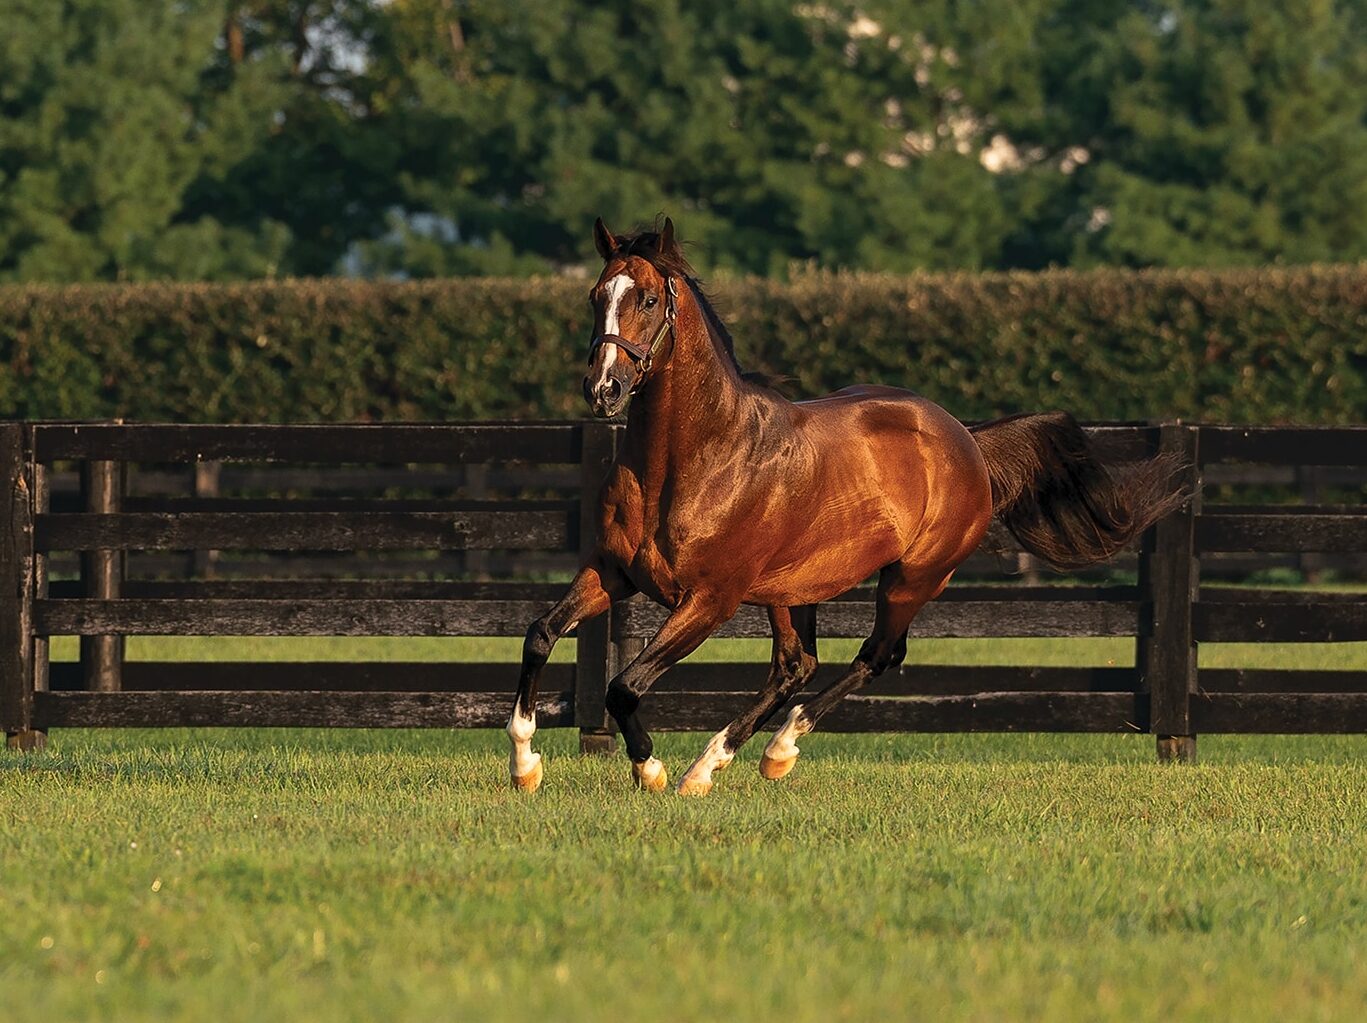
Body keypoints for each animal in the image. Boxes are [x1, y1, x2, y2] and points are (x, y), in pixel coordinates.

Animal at [506, 217, 1182, 796]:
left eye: (647, 299)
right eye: (595, 295)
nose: (603, 389)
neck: (691, 460)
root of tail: (966, 440)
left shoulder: (709, 600)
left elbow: (624, 685)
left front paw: (650, 771)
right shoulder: (612, 573)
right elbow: (540, 634)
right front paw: (524, 764)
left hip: (911, 578)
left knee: (874, 657)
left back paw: (770, 753)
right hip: (791, 591)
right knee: (794, 666)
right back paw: (713, 764)